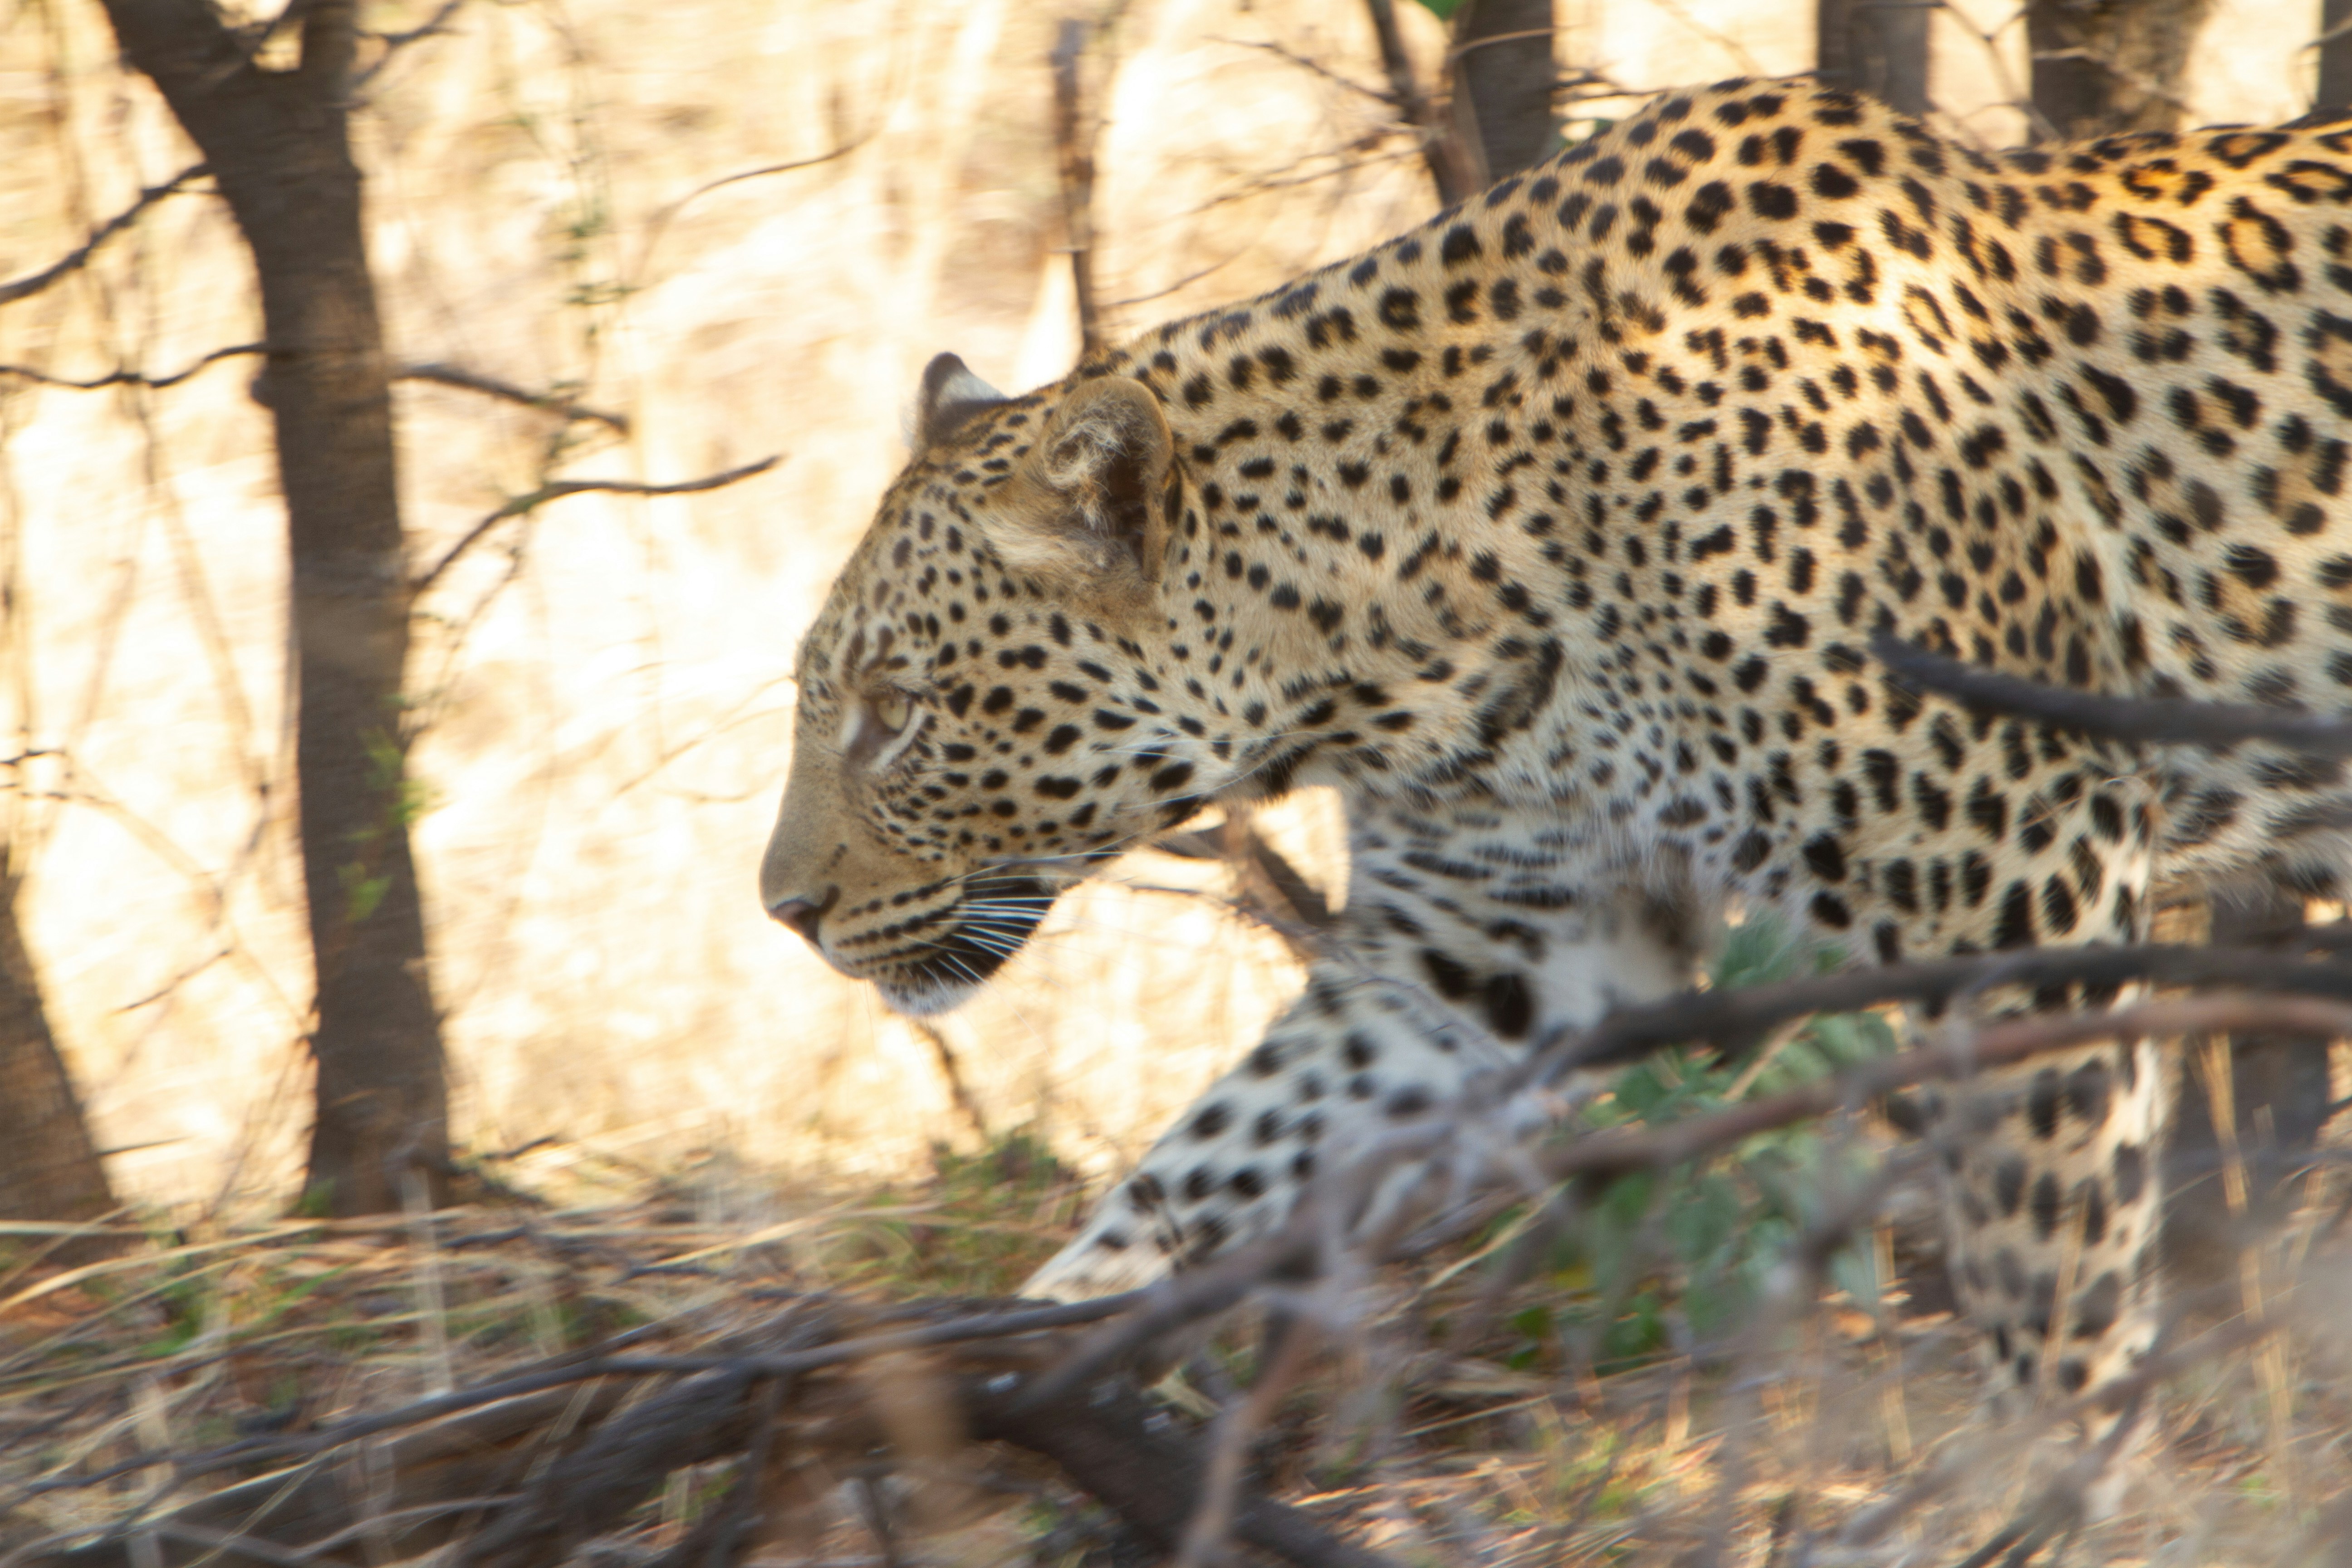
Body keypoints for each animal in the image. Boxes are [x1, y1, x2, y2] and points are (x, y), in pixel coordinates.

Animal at [761, 75, 2352, 1485]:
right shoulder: (1483, 948)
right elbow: (1213, 1166)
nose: (785, 911)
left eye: (895, 713)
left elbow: (2052, 1255)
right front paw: (995, 1388)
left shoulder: (2029, 884)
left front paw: (2049, 1490)